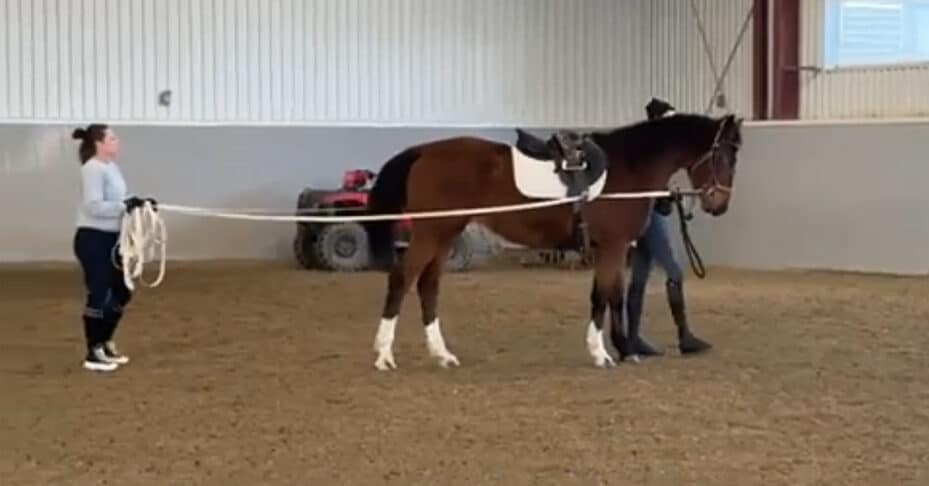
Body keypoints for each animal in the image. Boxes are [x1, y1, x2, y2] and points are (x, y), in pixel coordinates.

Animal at [361, 112, 743, 371]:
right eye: (725, 154)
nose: (719, 204)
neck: (628, 168)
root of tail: (424, 151)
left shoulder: (608, 249)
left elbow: (609, 296)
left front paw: (621, 349)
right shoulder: (614, 247)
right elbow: (606, 296)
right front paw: (605, 353)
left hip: (445, 235)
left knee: (428, 285)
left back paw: (442, 354)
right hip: (431, 233)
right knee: (402, 279)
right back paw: (384, 355)